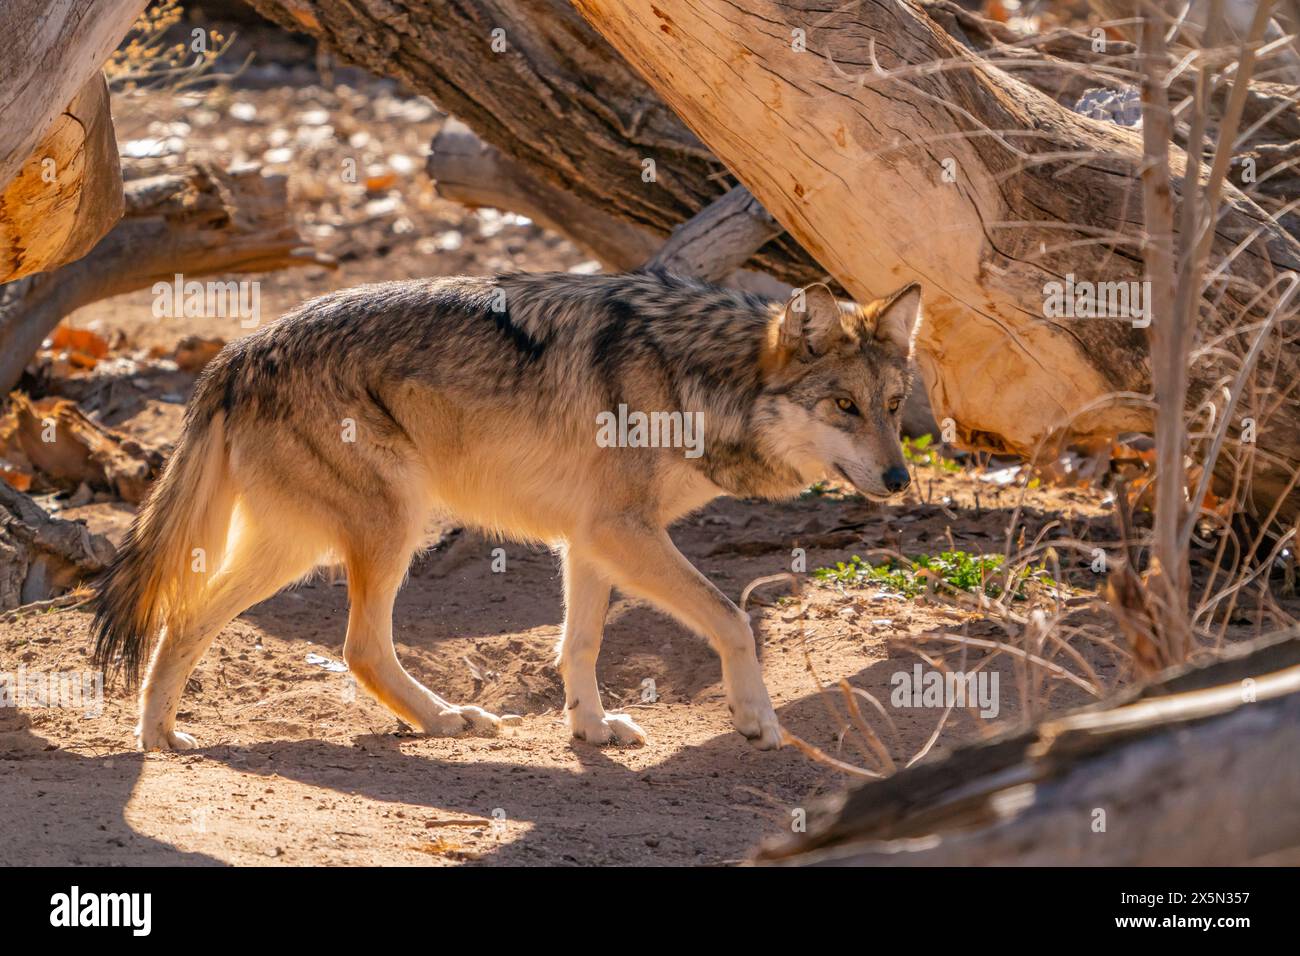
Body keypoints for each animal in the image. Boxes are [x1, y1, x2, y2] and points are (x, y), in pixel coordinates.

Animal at [91, 271, 921, 751]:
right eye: (844, 406)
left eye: (891, 404)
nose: (900, 477)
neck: (691, 375)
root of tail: (232, 356)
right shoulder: (622, 532)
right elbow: (733, 618)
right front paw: (757, 720)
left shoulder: (590, 540)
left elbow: (579, 646)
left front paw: (590, 729)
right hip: (390, 531)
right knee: (359, 648)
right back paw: (442, 721)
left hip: (294, 550)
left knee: (183, 620)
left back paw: (159, 736)